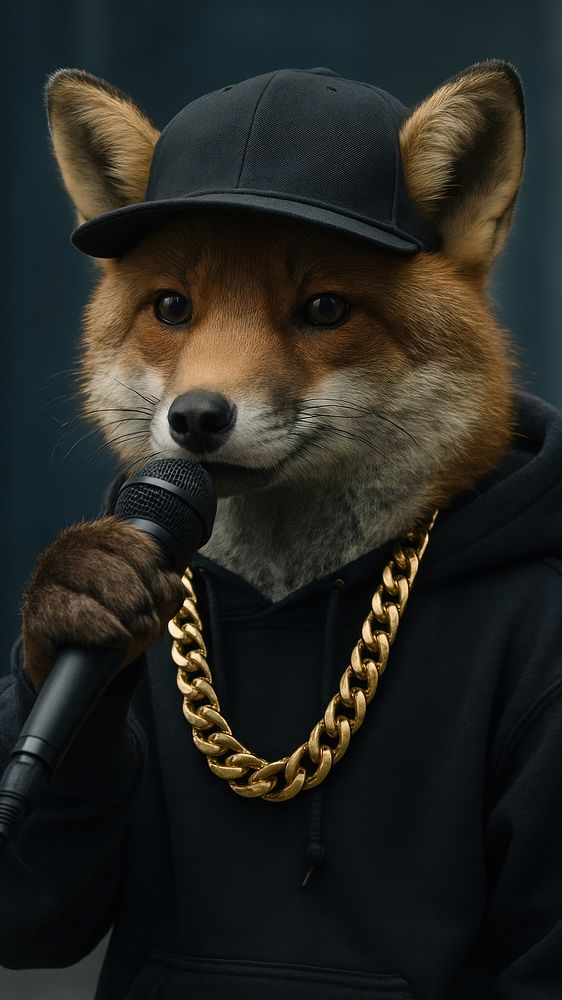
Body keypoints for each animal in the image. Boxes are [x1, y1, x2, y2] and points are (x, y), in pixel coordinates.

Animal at [2, 61, 562, 1000]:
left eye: (325, 309)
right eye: (172, 307)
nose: (196, 418)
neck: (288, 588)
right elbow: (43, 902)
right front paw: (79, 590)